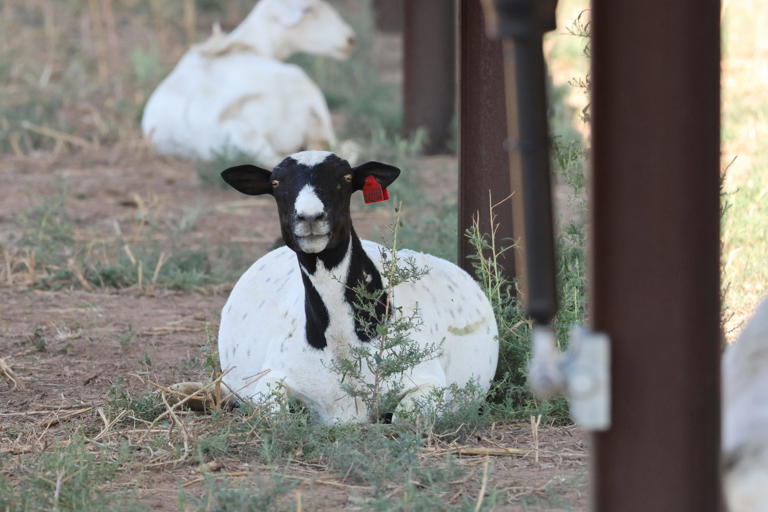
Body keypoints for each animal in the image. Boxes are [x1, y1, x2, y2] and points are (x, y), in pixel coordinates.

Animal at [217, 150, 499, 424]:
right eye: (276, 183)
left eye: (346, 178)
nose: (310, 217)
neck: (342, 342)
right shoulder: (270, 377)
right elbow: (277, 415)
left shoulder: (429, 382)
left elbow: (405, 418)